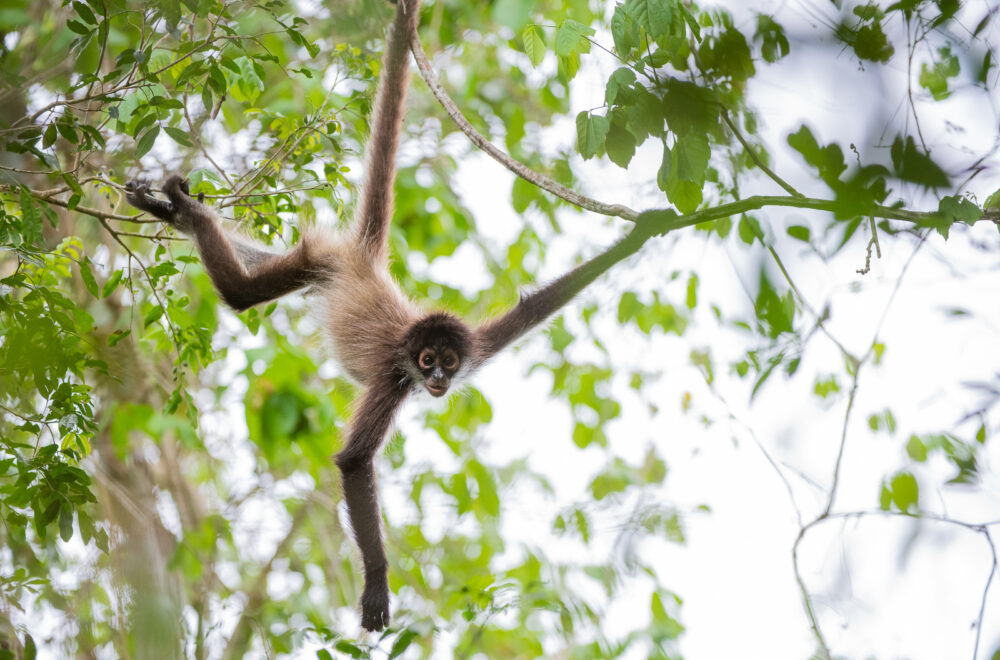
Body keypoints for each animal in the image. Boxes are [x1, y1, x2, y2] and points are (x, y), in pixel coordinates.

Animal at [125, 0, 653, 632]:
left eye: (448, 360)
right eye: (425, 361)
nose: (440, 379)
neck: (410, 346)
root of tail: (365, 259)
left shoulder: (478, 343)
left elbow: (537, 306)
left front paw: (648, 231)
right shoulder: (392, 377)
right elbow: (354, 462)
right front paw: (377, 583)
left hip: (317, 264)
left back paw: (175, 215)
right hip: (322, 260)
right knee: (238, 295)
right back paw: (189, 212)